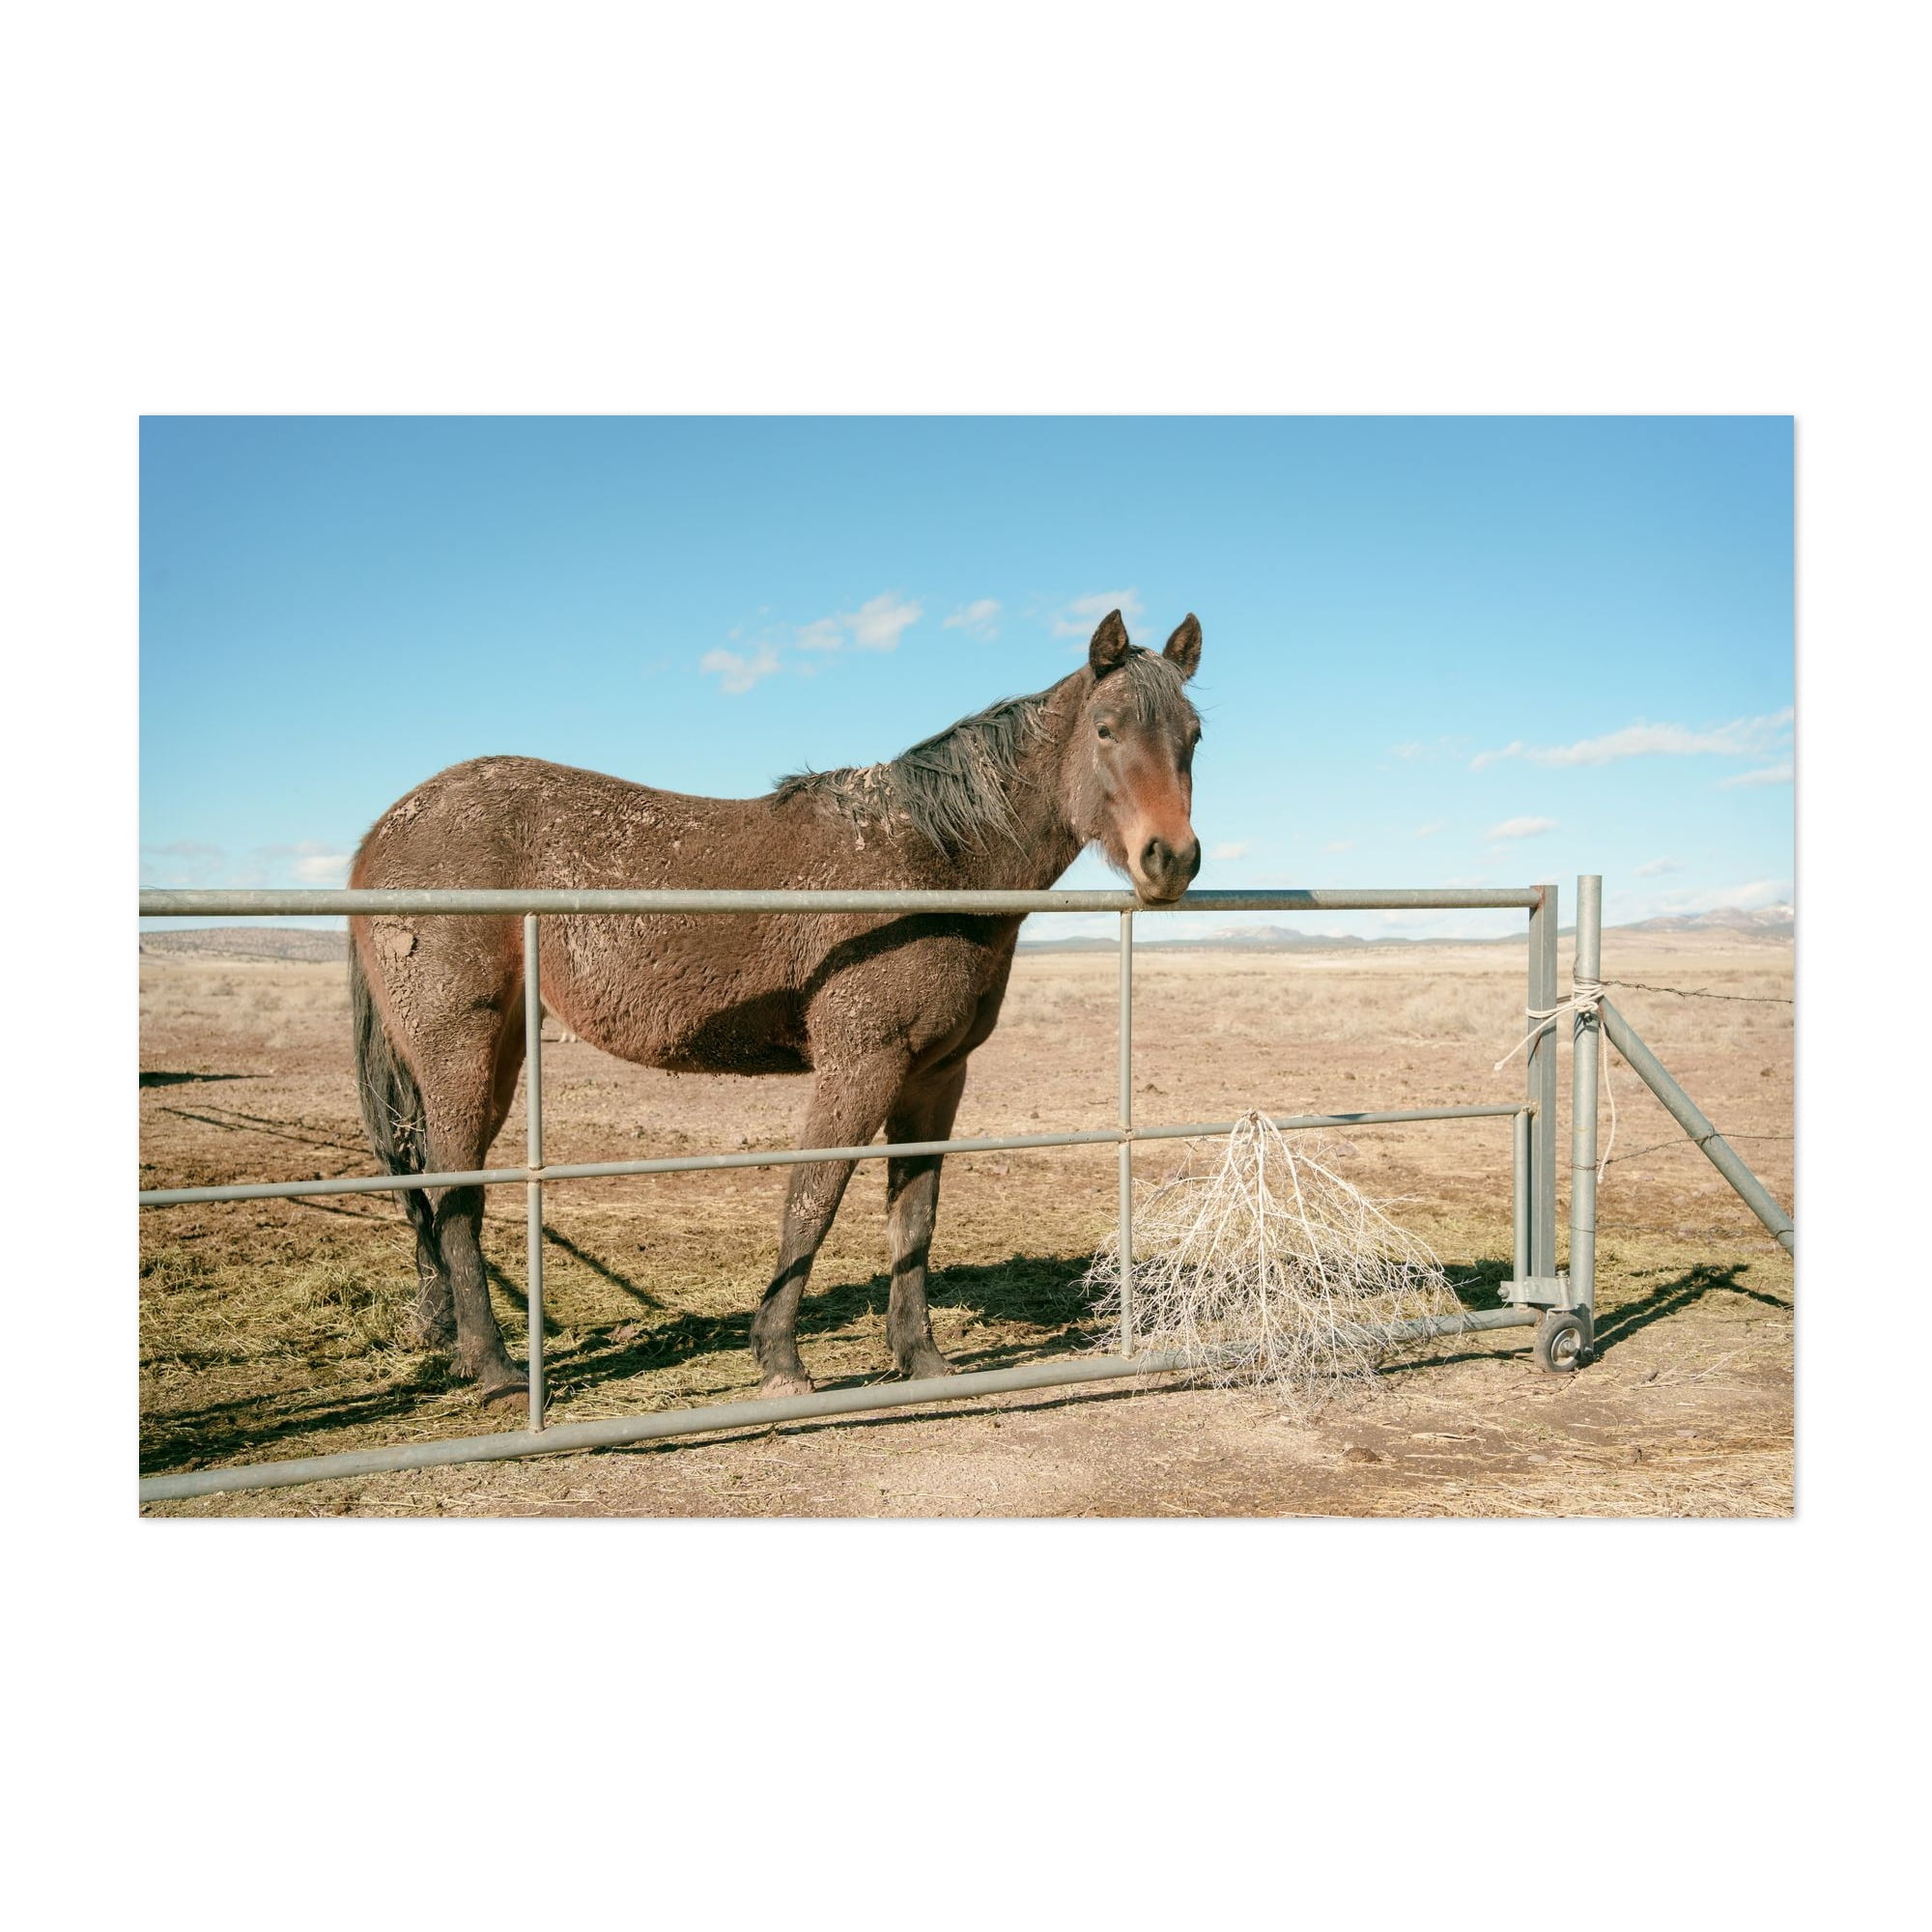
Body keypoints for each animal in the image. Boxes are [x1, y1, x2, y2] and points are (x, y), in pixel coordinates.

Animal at [347, 608, 1205, 1404]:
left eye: (1194, 736)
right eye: (1106, 729)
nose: (1171, 859)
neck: (932, 865)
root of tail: (380, 834)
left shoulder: (935, 1077)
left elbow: (913, 1217)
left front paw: (921, 1358)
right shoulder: (861, 1066)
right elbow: (812, 1199)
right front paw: (782, 1361)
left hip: (496, 1053)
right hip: (460, 1049)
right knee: (453, 1186)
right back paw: (496, 1370)